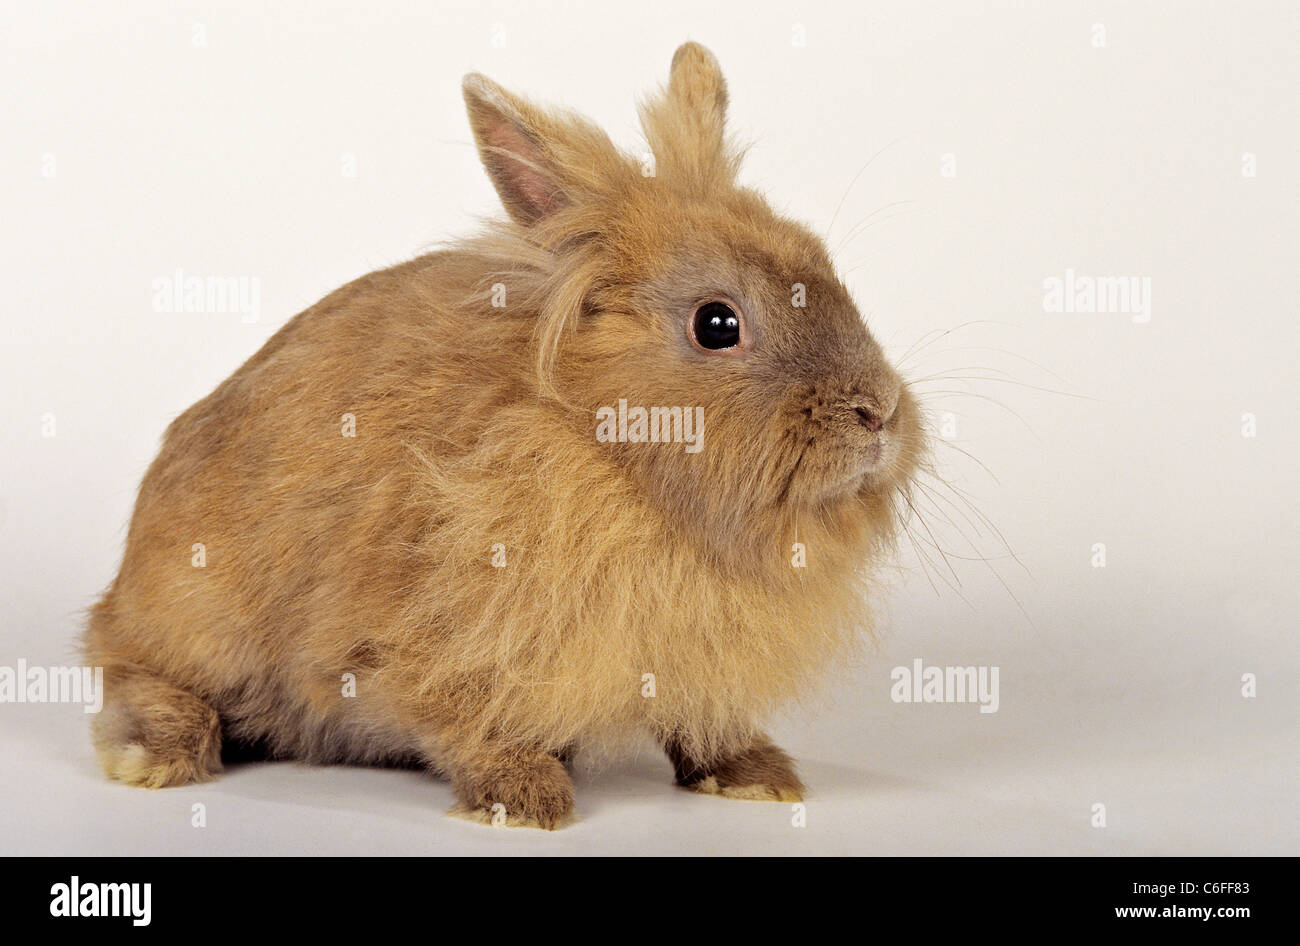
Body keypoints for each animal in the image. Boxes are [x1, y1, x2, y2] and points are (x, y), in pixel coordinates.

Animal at [84, 41, 925, 829]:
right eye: (717, 324)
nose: (878, 412)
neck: (602, 446)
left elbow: (699, 719)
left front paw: (756, 776)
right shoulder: (436, 634)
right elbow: (466, 715)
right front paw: (525, 799)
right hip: (195, 619)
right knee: (131, 669)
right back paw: (155, 756)